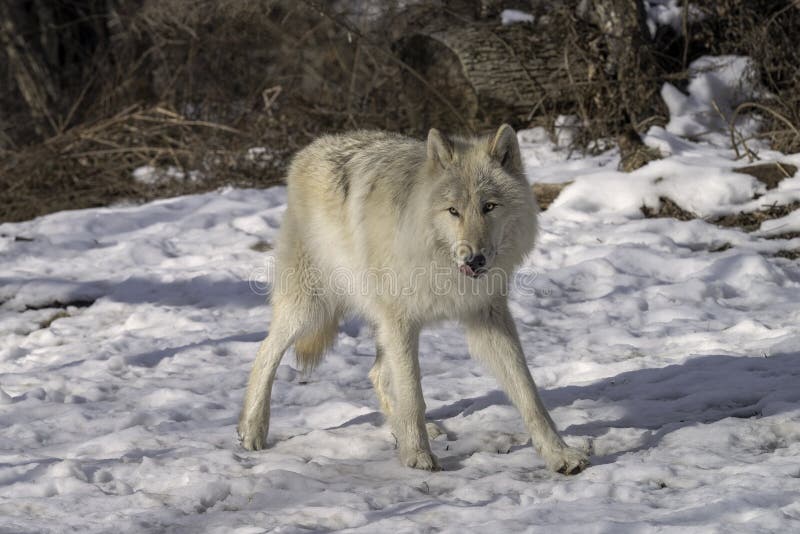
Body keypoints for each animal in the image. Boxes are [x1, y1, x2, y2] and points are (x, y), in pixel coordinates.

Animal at [238, 124, 589, 474]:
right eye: (453, 211)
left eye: (489, 206)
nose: (474, 260)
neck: (439, 262)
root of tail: (310, 149)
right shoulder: (402, 323)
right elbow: (412, 394)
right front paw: (418, 455)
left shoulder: (487, 317)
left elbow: (528, 394)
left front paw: (560, 454)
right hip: (312, 308)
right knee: (265, 352)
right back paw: (253, 429)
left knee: (377, 373)